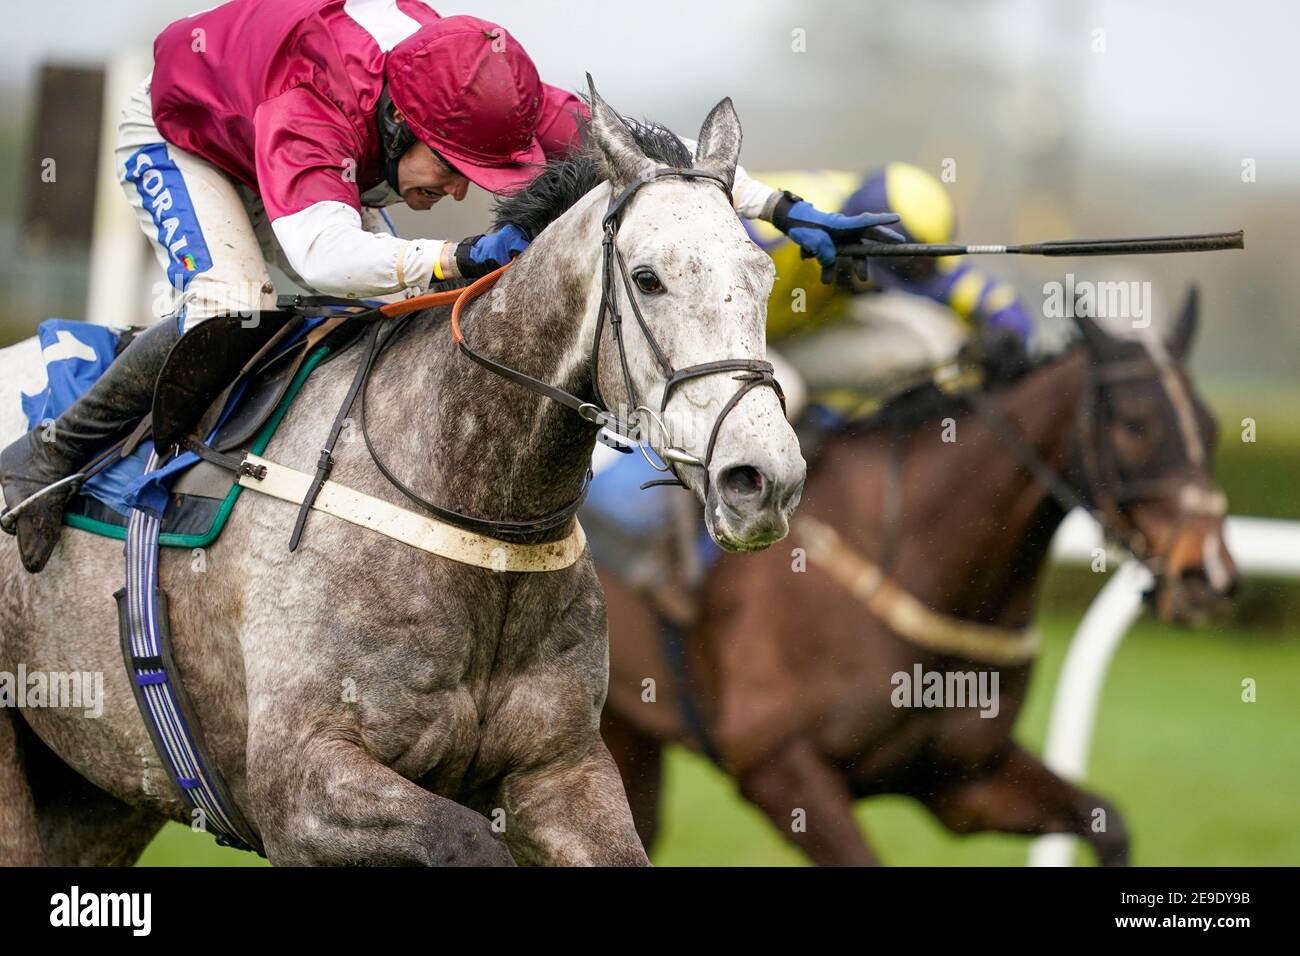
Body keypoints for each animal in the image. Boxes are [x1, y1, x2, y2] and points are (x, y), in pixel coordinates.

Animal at [0, 86, 805, 866]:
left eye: (765, 275)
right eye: (648, 278)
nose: (764, 478)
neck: (474, 511)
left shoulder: (561, 773)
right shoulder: (303, 787)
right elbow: (469, 843)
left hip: (97, 788)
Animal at [598, 288, 1237, 865]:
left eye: (1211, 429)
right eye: (1135, 424)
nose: (1209, 576)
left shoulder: (963, 781)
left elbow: (1108, 824)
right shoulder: (775, 764)